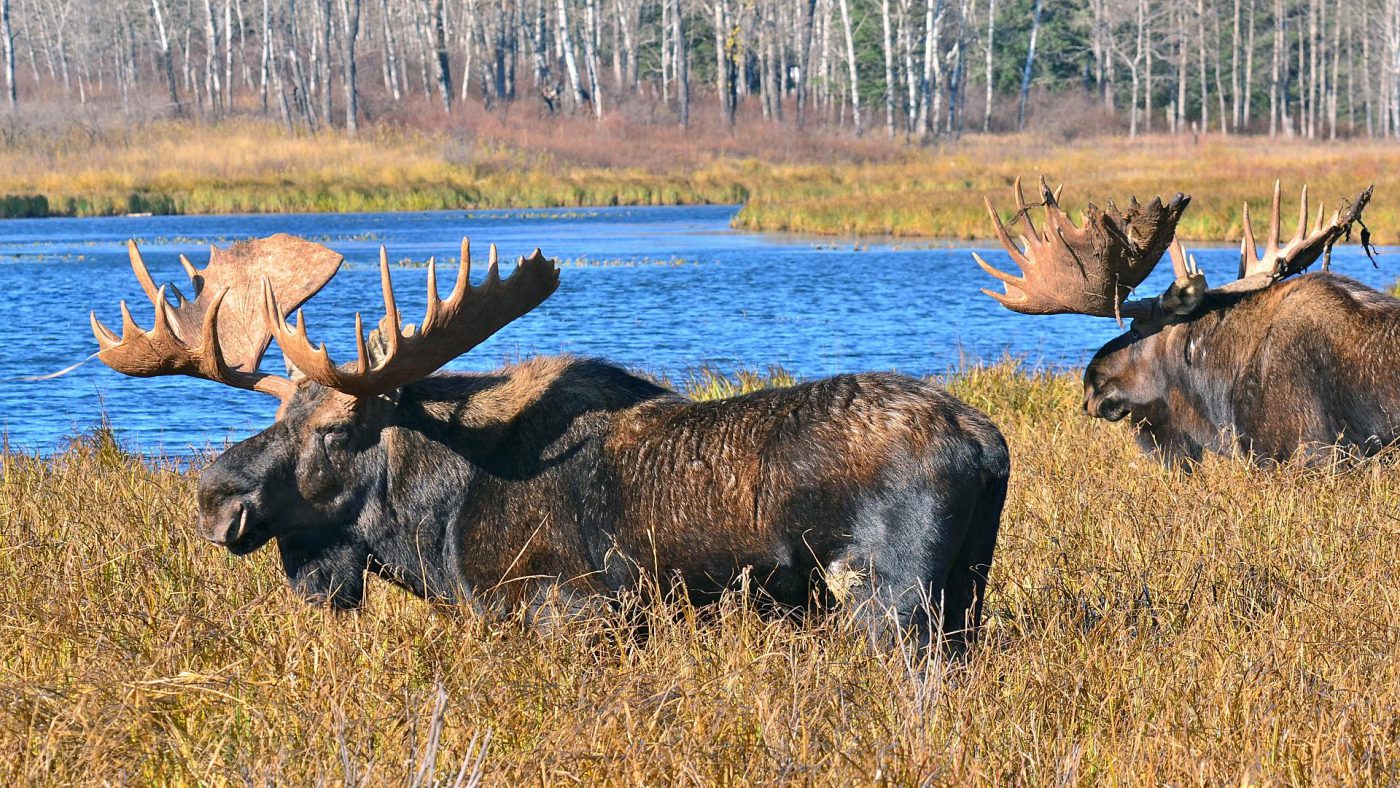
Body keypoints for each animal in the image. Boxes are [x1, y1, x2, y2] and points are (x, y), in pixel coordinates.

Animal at [90, 233, 1010, 652]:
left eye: (337, 429)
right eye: (279, 418)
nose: (215, 498)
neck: (432, 525)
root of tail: (987, 444)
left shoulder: (574, 611)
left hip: (892, 602)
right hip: (962, 590)